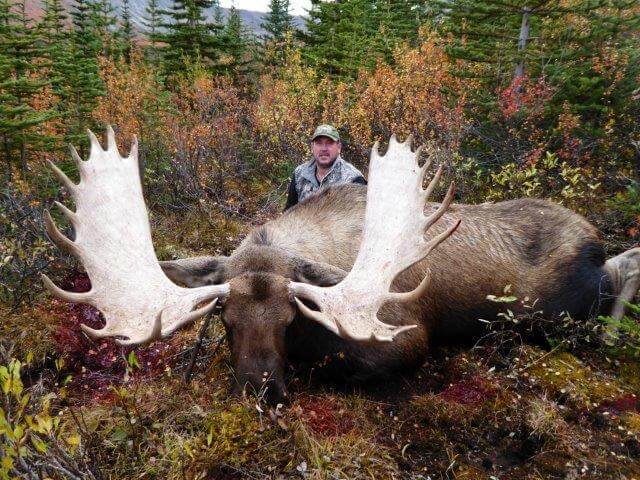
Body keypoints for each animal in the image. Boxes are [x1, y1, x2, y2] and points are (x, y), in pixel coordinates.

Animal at [42, 127, 640, 404]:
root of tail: (596, 238)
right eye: (225, 320)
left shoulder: (407, 340)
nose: (262, 390)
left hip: (562, 316)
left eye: (291, 320)